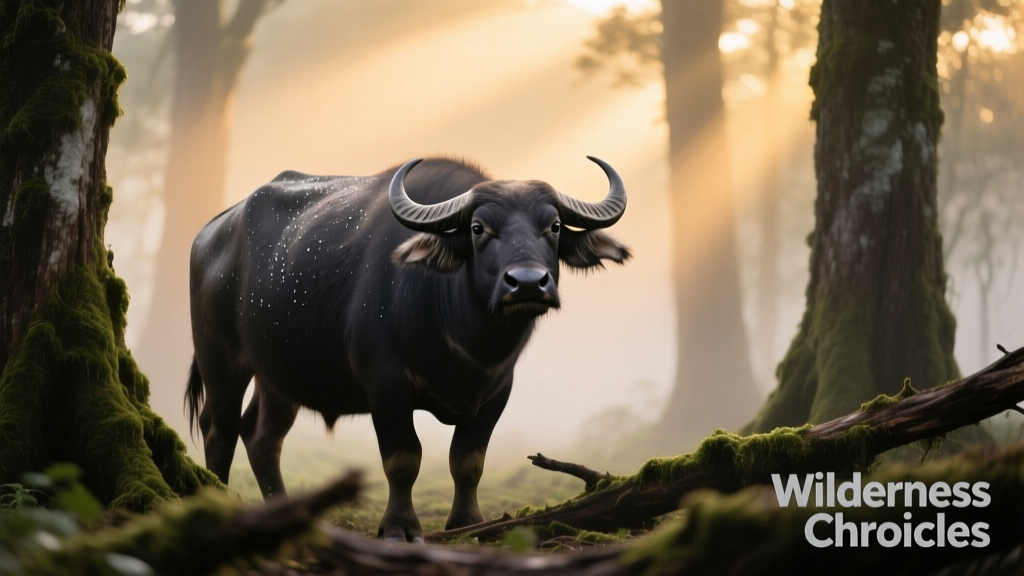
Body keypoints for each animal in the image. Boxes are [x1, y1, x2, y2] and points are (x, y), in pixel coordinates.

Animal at [185, 156, 629, 541]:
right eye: (478, 228)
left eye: (554, 226)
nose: (526, 283)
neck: (467, 340)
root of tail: (212, 231)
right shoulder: (386, 384)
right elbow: (403, 459)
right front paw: (400, 528)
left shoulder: (498, 390)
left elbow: (468, 461)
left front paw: (467, 524)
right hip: (220, 357)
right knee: (219, 428)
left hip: (281, 373)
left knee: (261, 436)